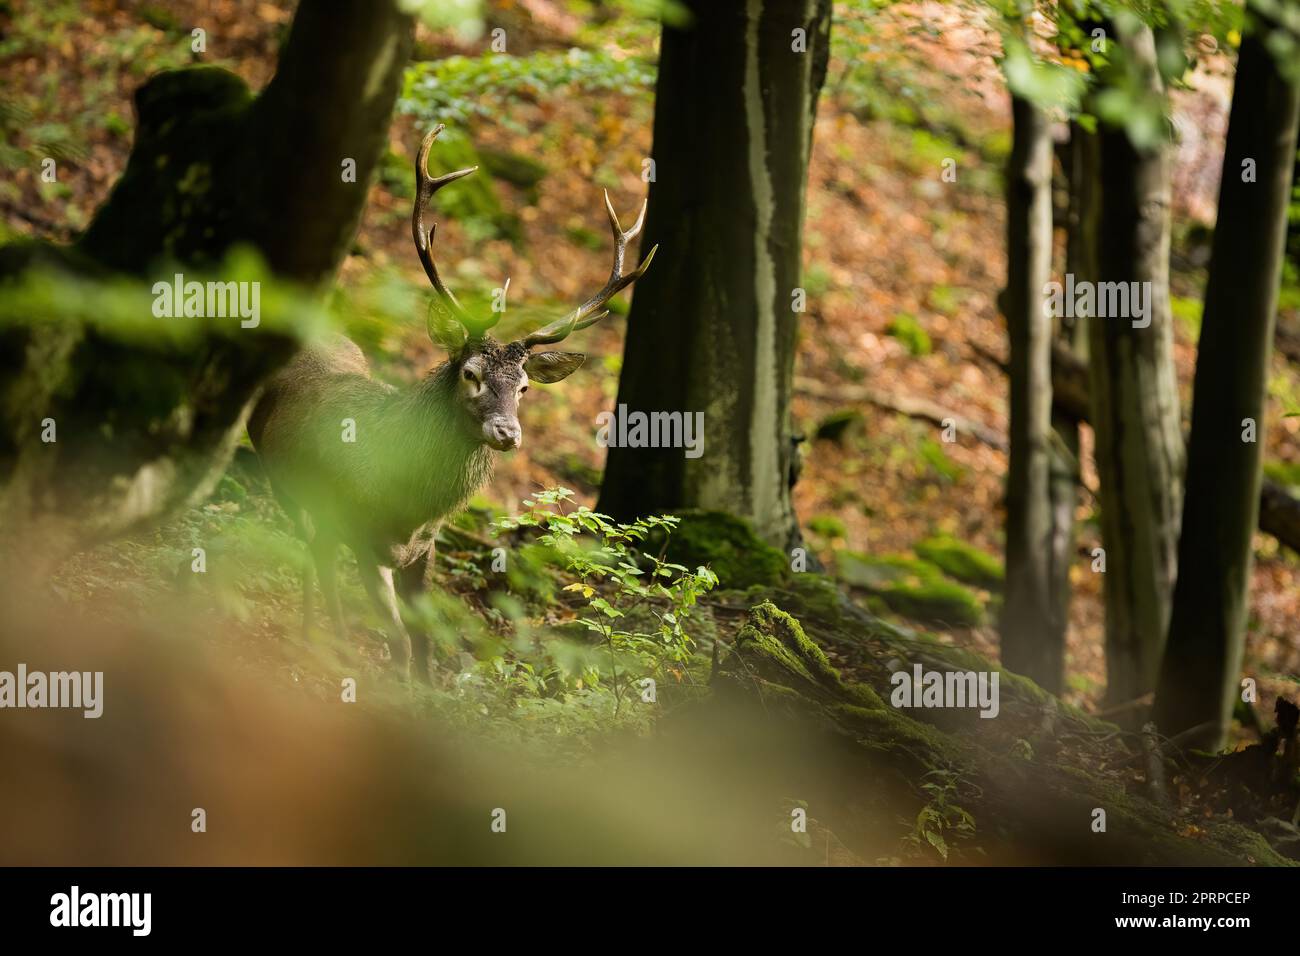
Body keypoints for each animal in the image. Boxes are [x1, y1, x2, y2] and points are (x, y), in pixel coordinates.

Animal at [247, 125, 656, 683]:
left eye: (524, 387)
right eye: (470, 374)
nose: (508, 433)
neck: (408, 502)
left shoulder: (426, 546)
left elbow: (423, 644)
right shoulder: (362, 534)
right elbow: (398, 642)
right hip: (283, 481)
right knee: (311, 554)